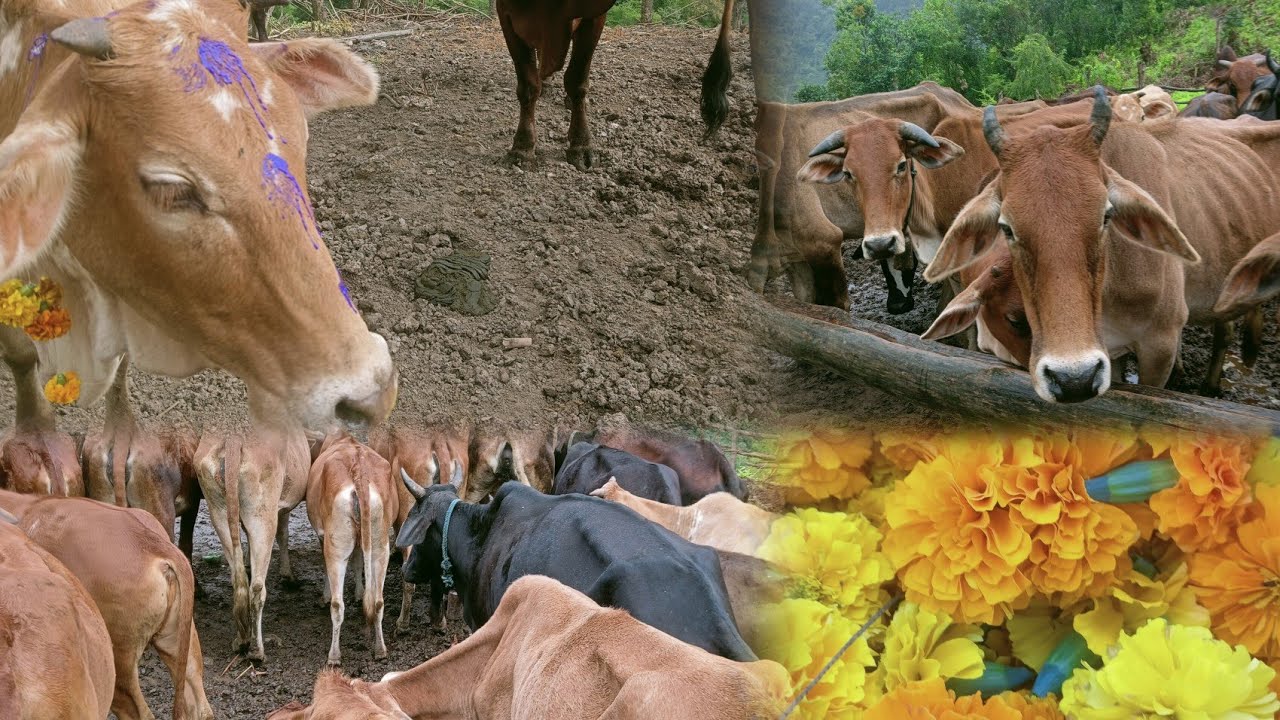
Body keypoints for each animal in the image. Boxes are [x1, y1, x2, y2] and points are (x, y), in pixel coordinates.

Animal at [195, 425, 310, 662]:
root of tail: (234, 437)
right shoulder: (280, 507)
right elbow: (283, 534)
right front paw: (288, 576)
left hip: (217, 510)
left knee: (238, 580)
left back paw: (241, 640)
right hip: (262, 513)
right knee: (257, 587)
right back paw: (257, 650)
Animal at [307, 433, 398, 666]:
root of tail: (360, 471)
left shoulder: (322, 536)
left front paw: (324, 596)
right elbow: (358, 562)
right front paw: (358, 592)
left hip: (336, 545)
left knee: (338, 605)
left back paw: (334, 656)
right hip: (380, 544)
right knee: (377, 601)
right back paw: (380, 650)